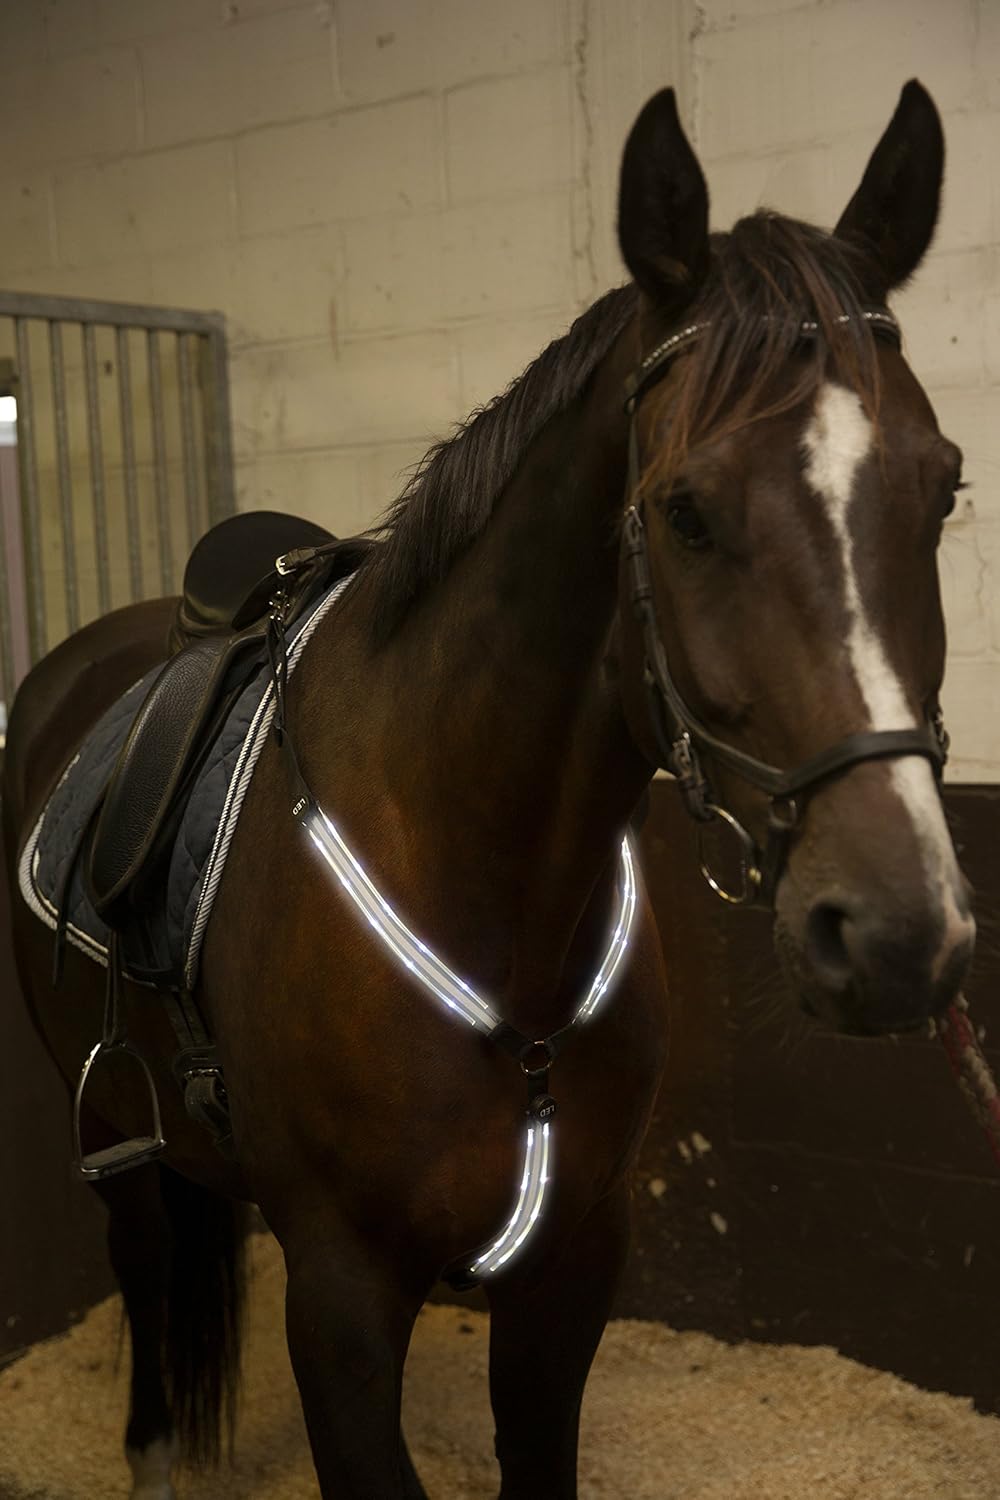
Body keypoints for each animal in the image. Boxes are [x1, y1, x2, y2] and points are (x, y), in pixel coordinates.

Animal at [2, 77, 975, 1499]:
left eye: (942, 487)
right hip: (113, 1138)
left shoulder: (570, 1271)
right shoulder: (341, 1303)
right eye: (684, 511)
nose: (902, 936)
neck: (485, 894)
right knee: (144, 1268)